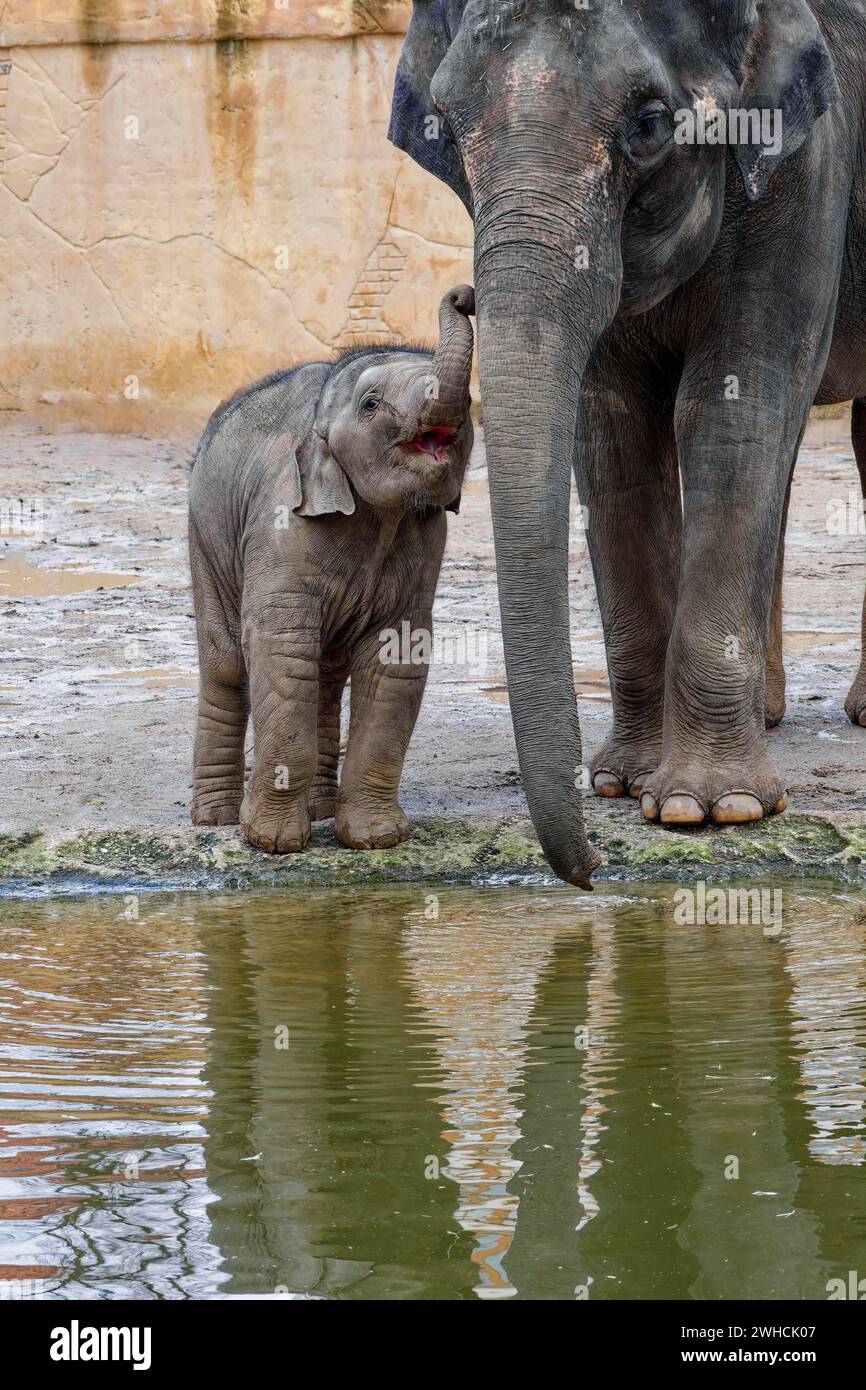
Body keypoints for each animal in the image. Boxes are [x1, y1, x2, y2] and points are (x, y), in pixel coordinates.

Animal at [188, 284, 475, 853]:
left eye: (473, 403)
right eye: (371, 404)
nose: (462, 295)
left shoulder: (426, 542)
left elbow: (396, 658)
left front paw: (376, 839)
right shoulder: (279, 520)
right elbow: (278, 649)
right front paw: (273, 842)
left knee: (324, 674)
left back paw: (318, 808)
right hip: (204, 539)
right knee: (227, 663)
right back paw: (213, 821)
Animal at [389, 0, 866, 887]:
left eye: (649, 124)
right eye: (447, 122)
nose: (593, 867)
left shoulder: (812, 160)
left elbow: (734, 404)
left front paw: (710, 809)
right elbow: (611, 426)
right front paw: (626, 784)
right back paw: (769, 714)